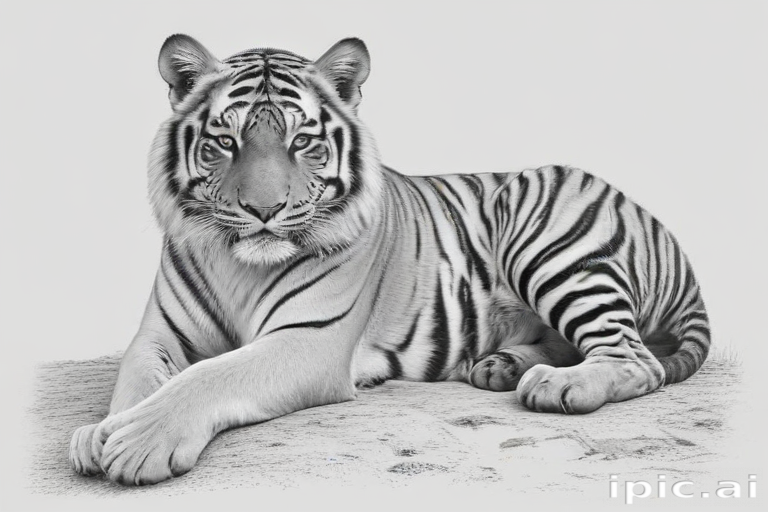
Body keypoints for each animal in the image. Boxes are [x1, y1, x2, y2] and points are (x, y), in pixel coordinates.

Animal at [69, 35, 710, 486]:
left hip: (551, 241)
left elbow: (211, 376)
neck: (239, 265)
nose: (264, 210)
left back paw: (556, 385)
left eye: (303, 142)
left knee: (635, 358)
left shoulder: (309, 339)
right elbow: (138, 380)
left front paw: (137, 442)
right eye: (225, 142)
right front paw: (98, 432)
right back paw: (502, 367)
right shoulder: (157, 335)